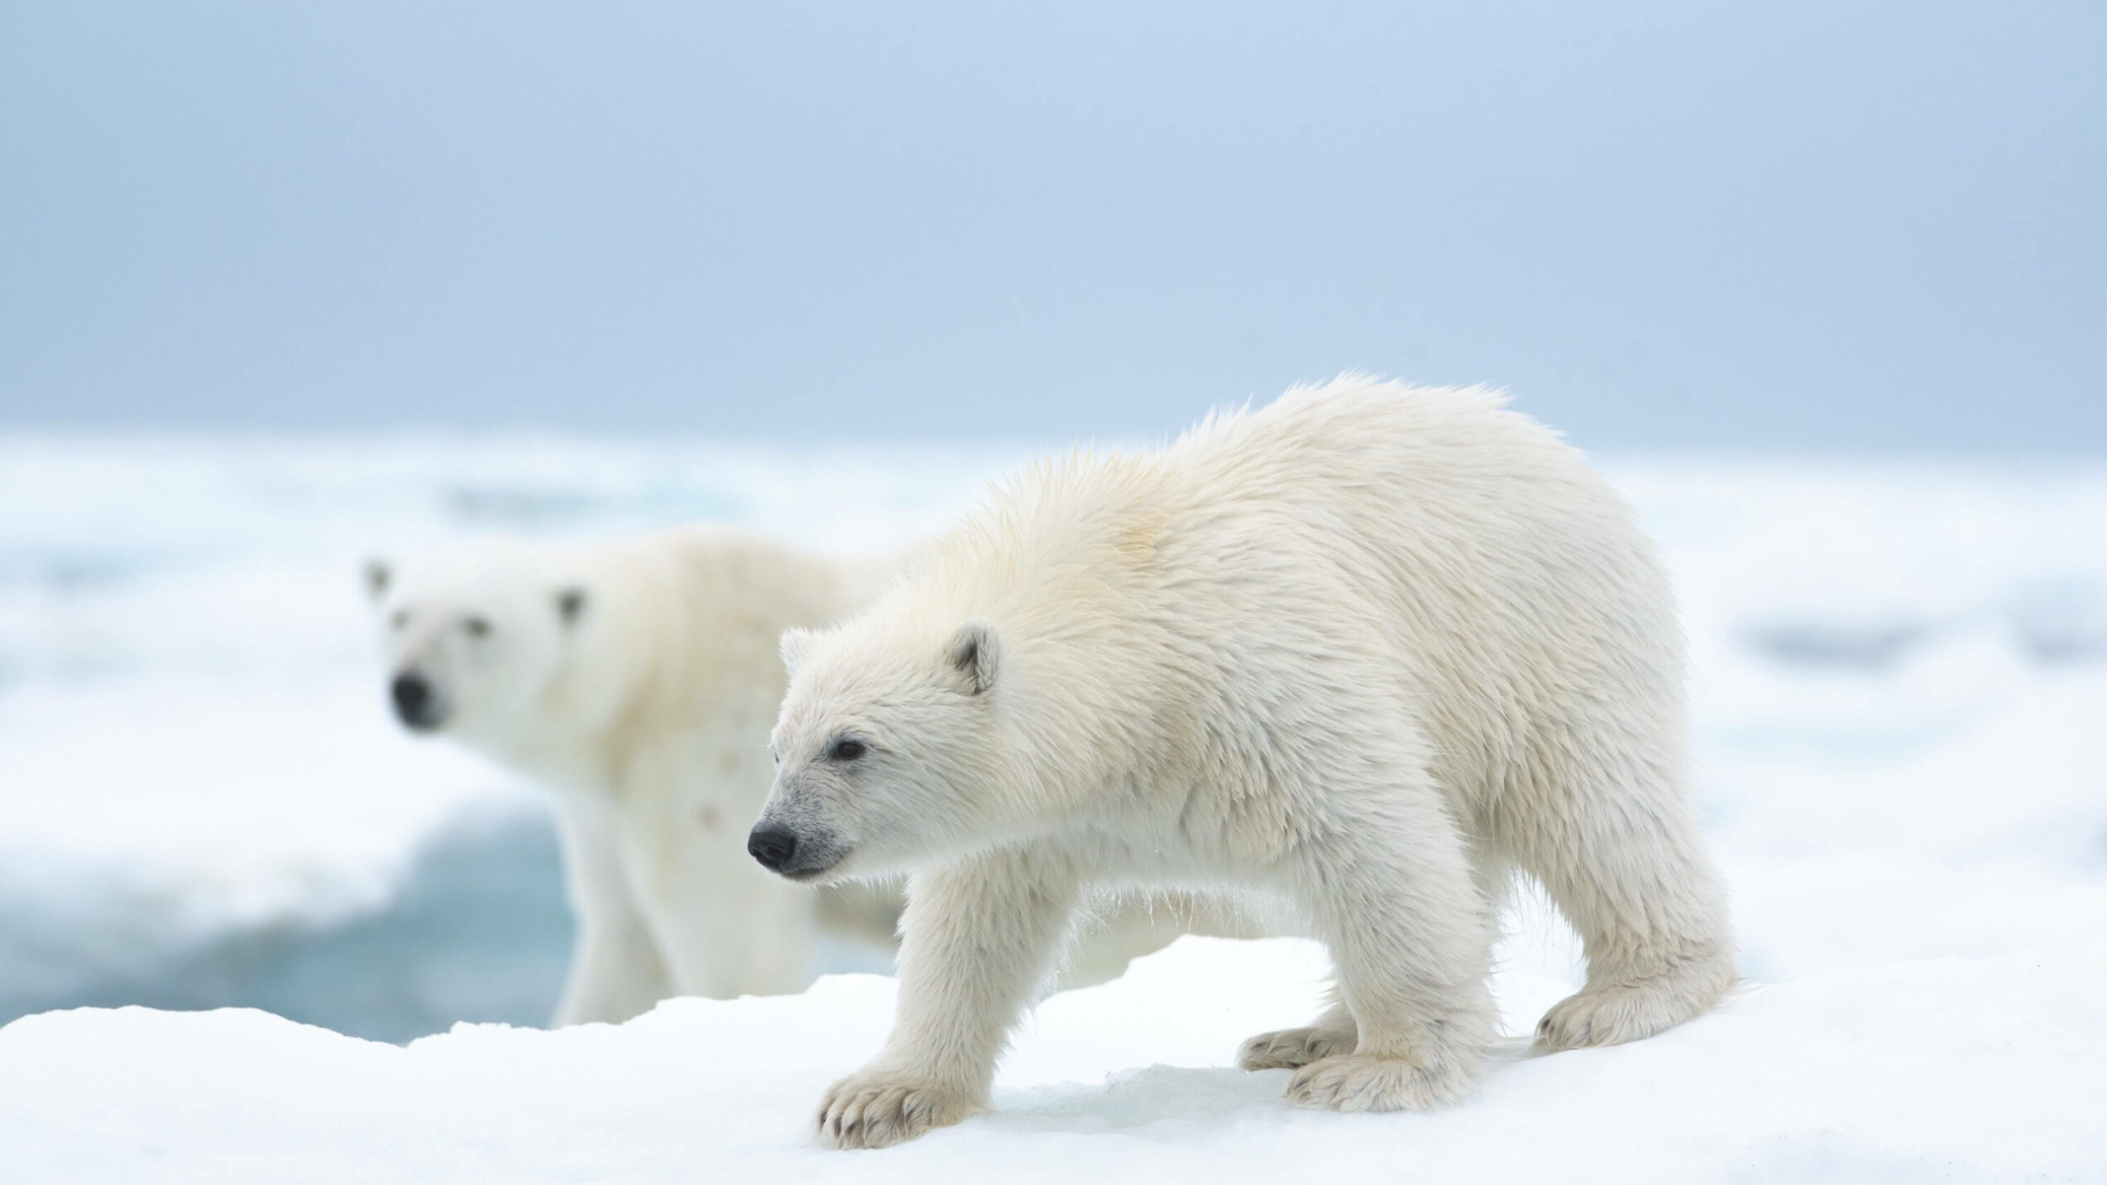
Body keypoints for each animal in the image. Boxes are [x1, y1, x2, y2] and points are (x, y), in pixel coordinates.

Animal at [368, 527, 1252, 1027]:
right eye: (399, 612)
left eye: (477, 623)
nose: (410, 688)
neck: (660, 660)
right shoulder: (606, 809)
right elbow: (623, 941)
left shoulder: (704, 762)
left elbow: (731, 945)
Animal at [755, 375, 1738, 1148]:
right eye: (777, 744)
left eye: (850, 744)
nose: (771, 839)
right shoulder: (1038, 816)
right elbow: (972, 924)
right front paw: (880, 1096)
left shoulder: (1259, 689)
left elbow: (1372, 846)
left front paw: (1380, 1071)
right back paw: (1306, 1031)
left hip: (1539, 643)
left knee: (1590, 807)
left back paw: (1621, 996)